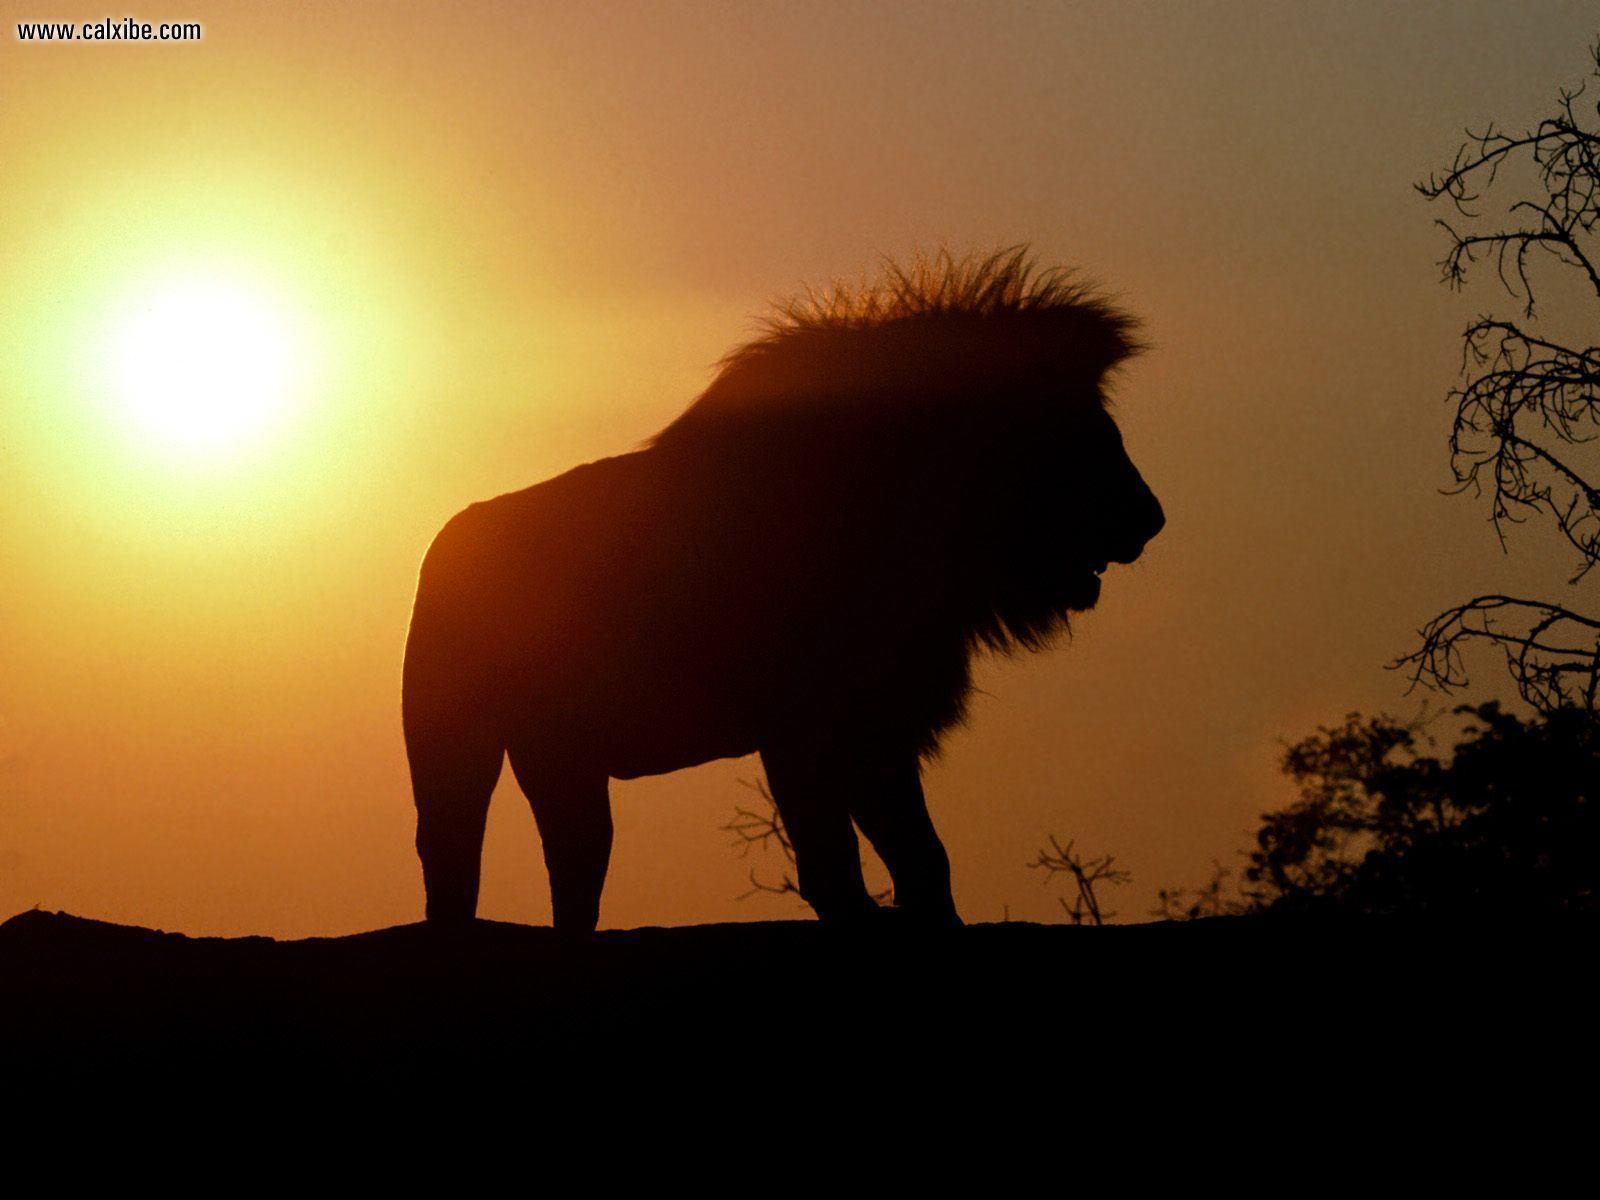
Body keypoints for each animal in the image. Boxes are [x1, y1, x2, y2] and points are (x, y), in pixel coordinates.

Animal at [403, 247, 1165, 931]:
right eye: (1078, 429)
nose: (1151, 517)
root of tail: (446, 539)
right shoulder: (805, 724)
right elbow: (833, 857)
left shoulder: (881, 721)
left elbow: (919, 851)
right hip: (458, 741)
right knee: (455, 858)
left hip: (562, 755)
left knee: (573, 867)